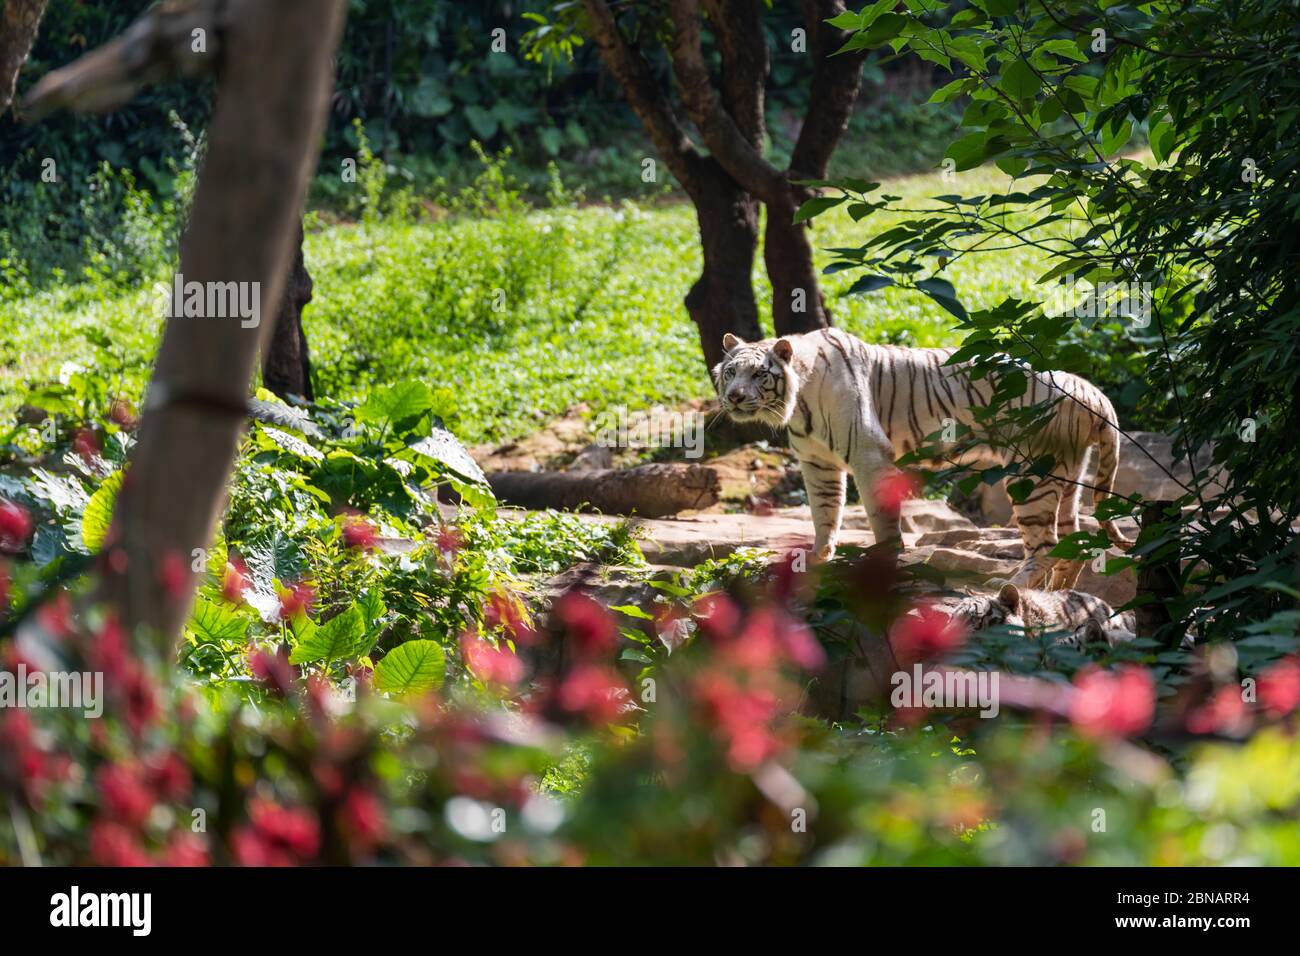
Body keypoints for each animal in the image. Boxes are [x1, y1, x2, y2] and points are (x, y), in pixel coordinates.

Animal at [712, 328, 1131, 589]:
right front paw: (817, 558)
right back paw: (1058, 594)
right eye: (730, 372)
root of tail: (1086, 388)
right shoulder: (818, 464)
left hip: (1030, 475)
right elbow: (824, 513)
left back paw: (1009, 586)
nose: (734, 396)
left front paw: (885, 557)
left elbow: (880, 515)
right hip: (1067, 475)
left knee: (1045, 544)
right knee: (1072, 539)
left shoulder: (868, 453)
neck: (798, 400)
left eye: (759, 374)